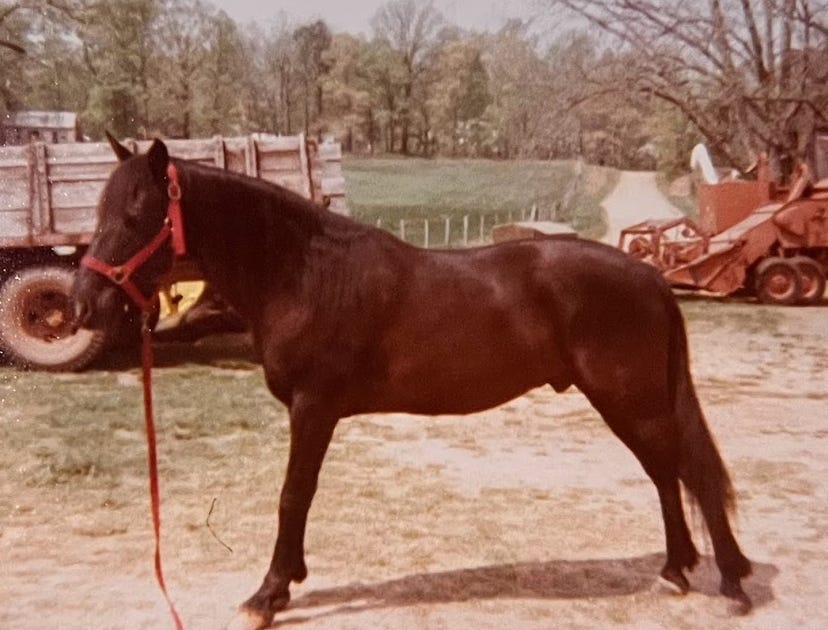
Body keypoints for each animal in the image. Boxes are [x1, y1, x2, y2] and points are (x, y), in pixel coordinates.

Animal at [72, 137, 753, 629]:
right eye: (101, 211)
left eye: (137, 214)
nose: (82, 305)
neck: (302, 273)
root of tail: (650, 277)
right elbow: (298, 497)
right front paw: (289, 581)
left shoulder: (312, 409)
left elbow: (294, 496)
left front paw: (268, 594)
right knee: (667, 474)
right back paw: (678, 569)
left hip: (630, 400)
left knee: (685, 472)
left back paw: (730, 580)